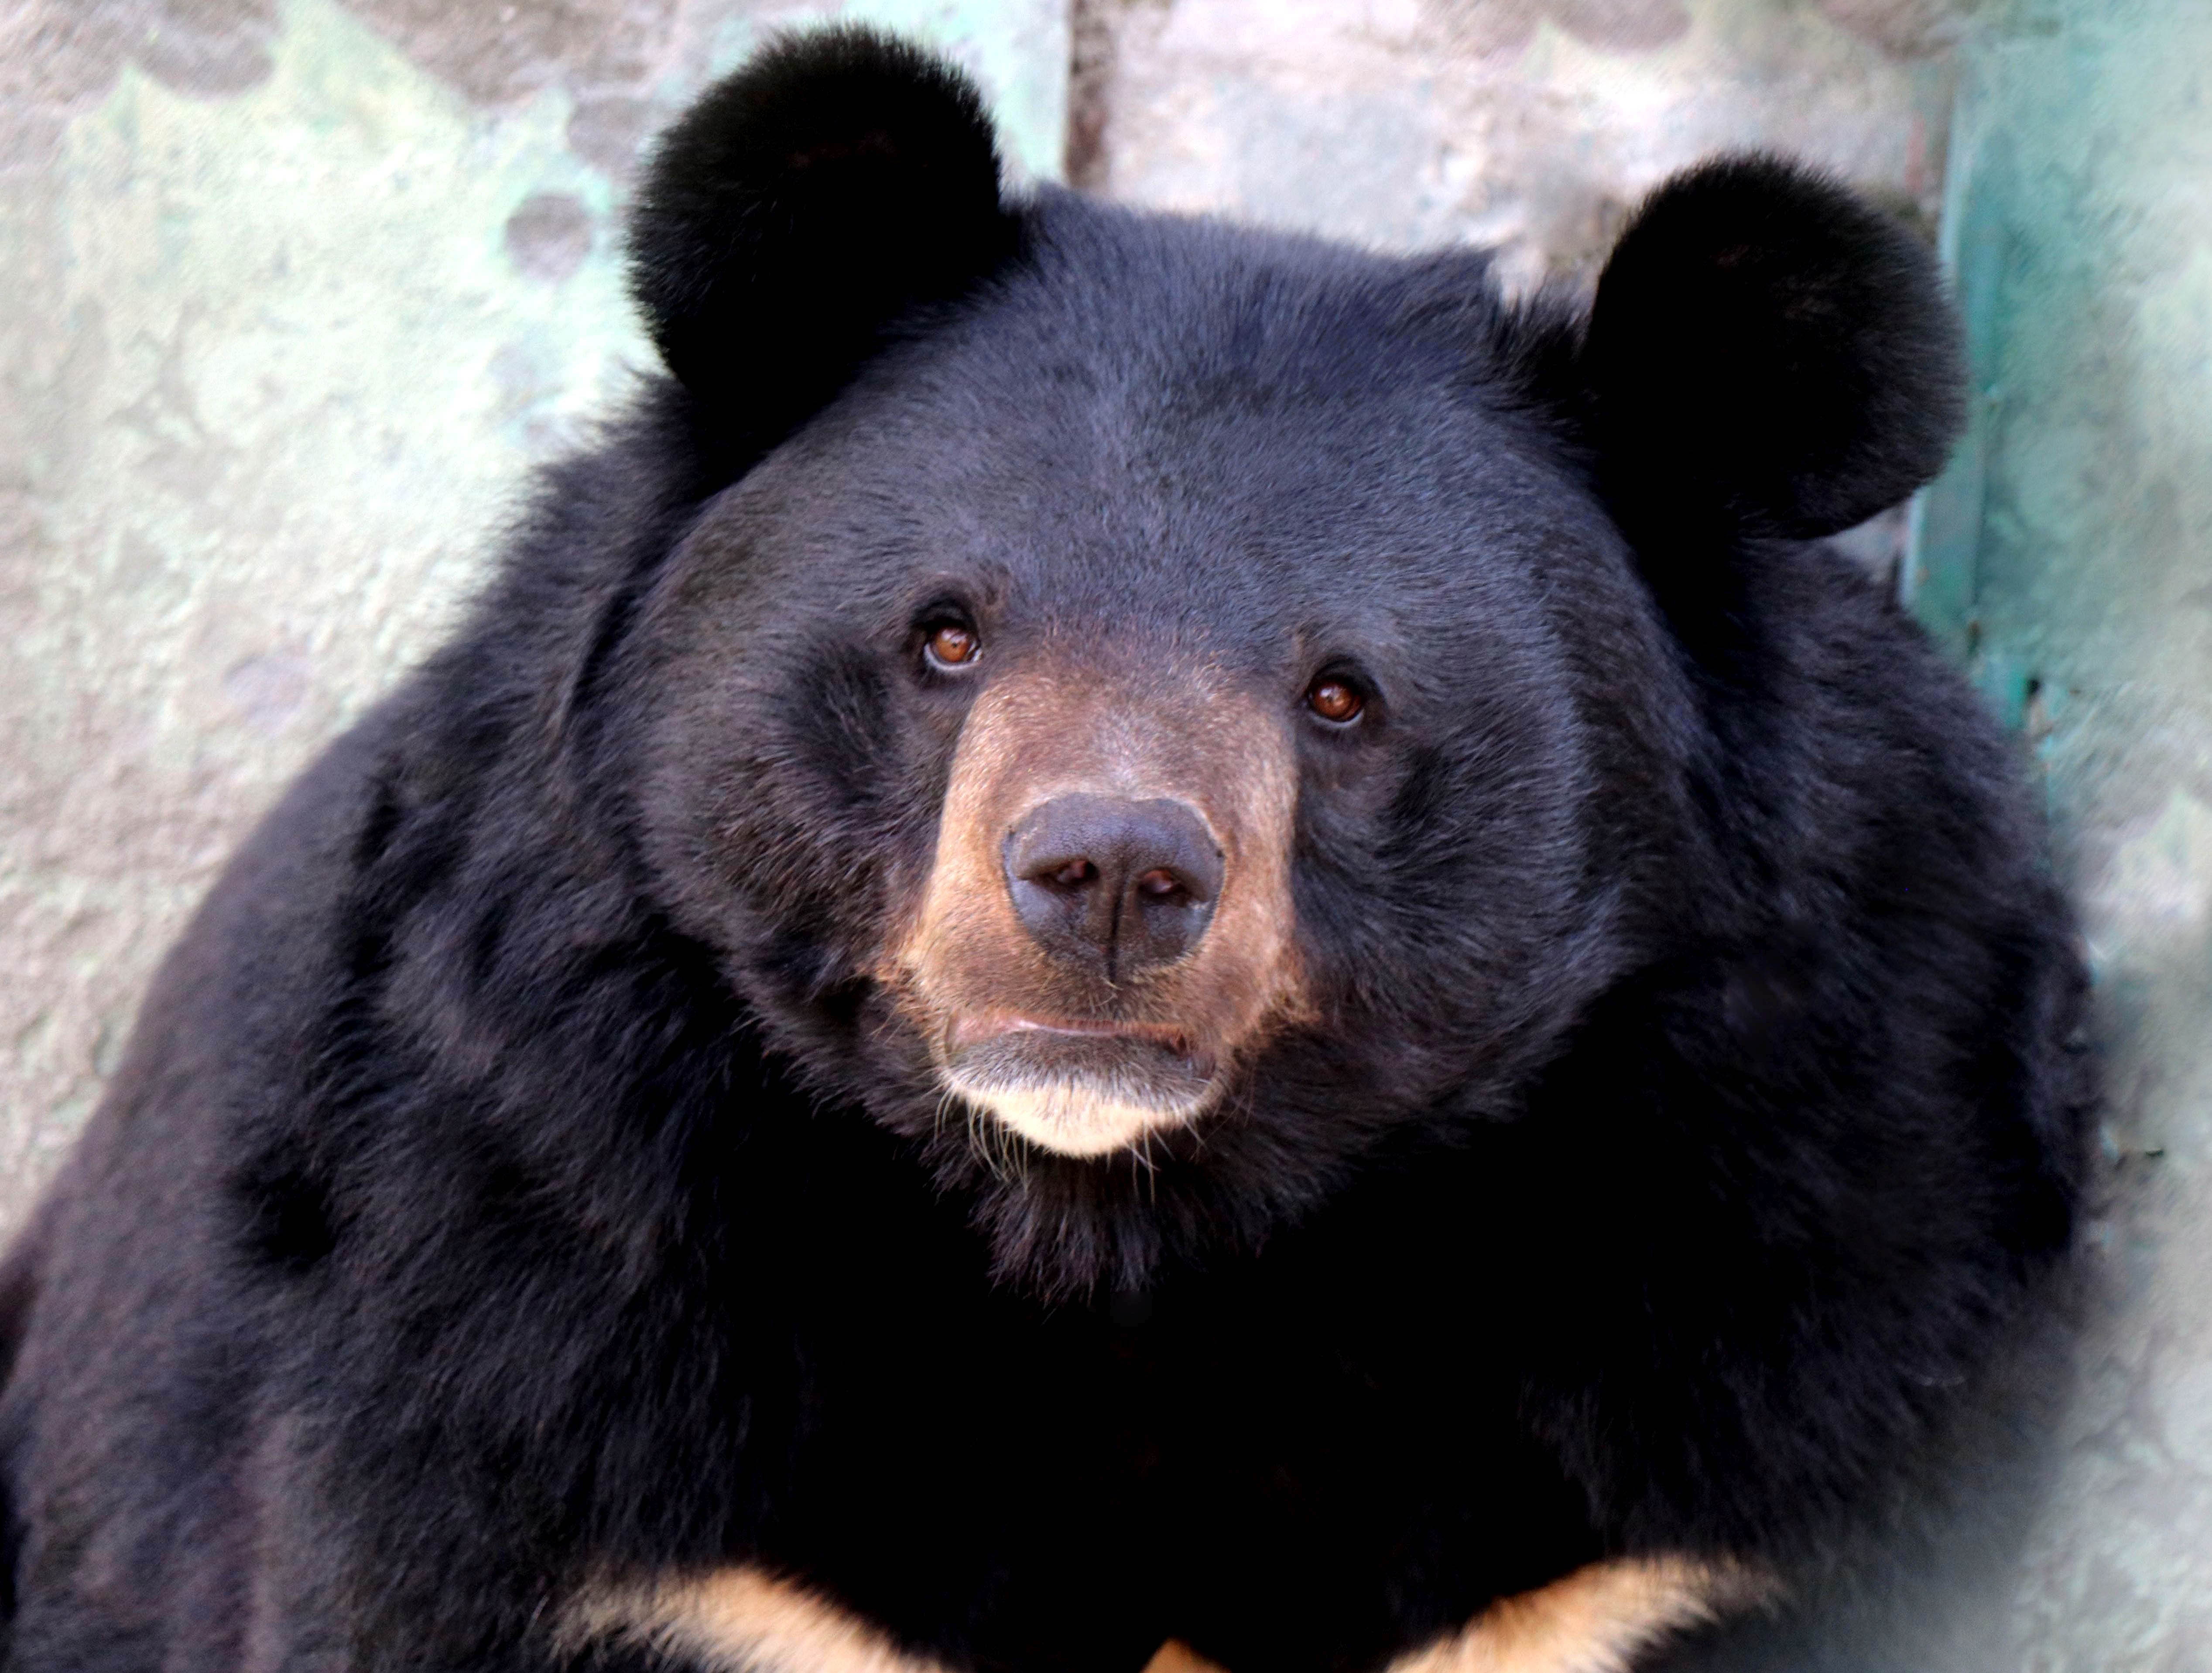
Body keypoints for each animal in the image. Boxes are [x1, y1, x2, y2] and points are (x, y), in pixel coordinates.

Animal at [0, 25, 2088, 1673]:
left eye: (1343, 695)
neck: (1131, 1252)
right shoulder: (546, 1305)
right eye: (947, 635)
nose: (1107, 875)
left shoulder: (1739, 1351)